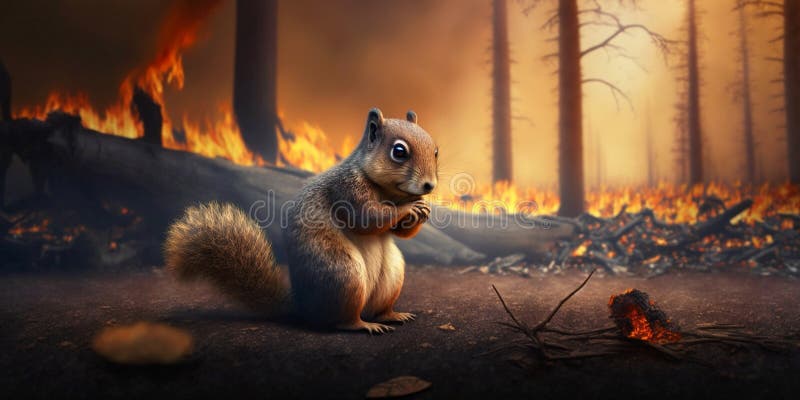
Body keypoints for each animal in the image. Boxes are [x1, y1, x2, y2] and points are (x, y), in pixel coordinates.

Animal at [164, 108, 439, 334]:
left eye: (435, 150)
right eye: (399, 152)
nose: (430, 185)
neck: (386, 190)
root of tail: (303, 308)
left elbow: (398, 232)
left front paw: (422, 208)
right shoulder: (346, 190)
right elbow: (367, 218)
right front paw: (409, 207)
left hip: (391, 275)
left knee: (378, 308)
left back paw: (392, 315)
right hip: (342, 273)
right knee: (343, 320)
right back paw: (364, 325)